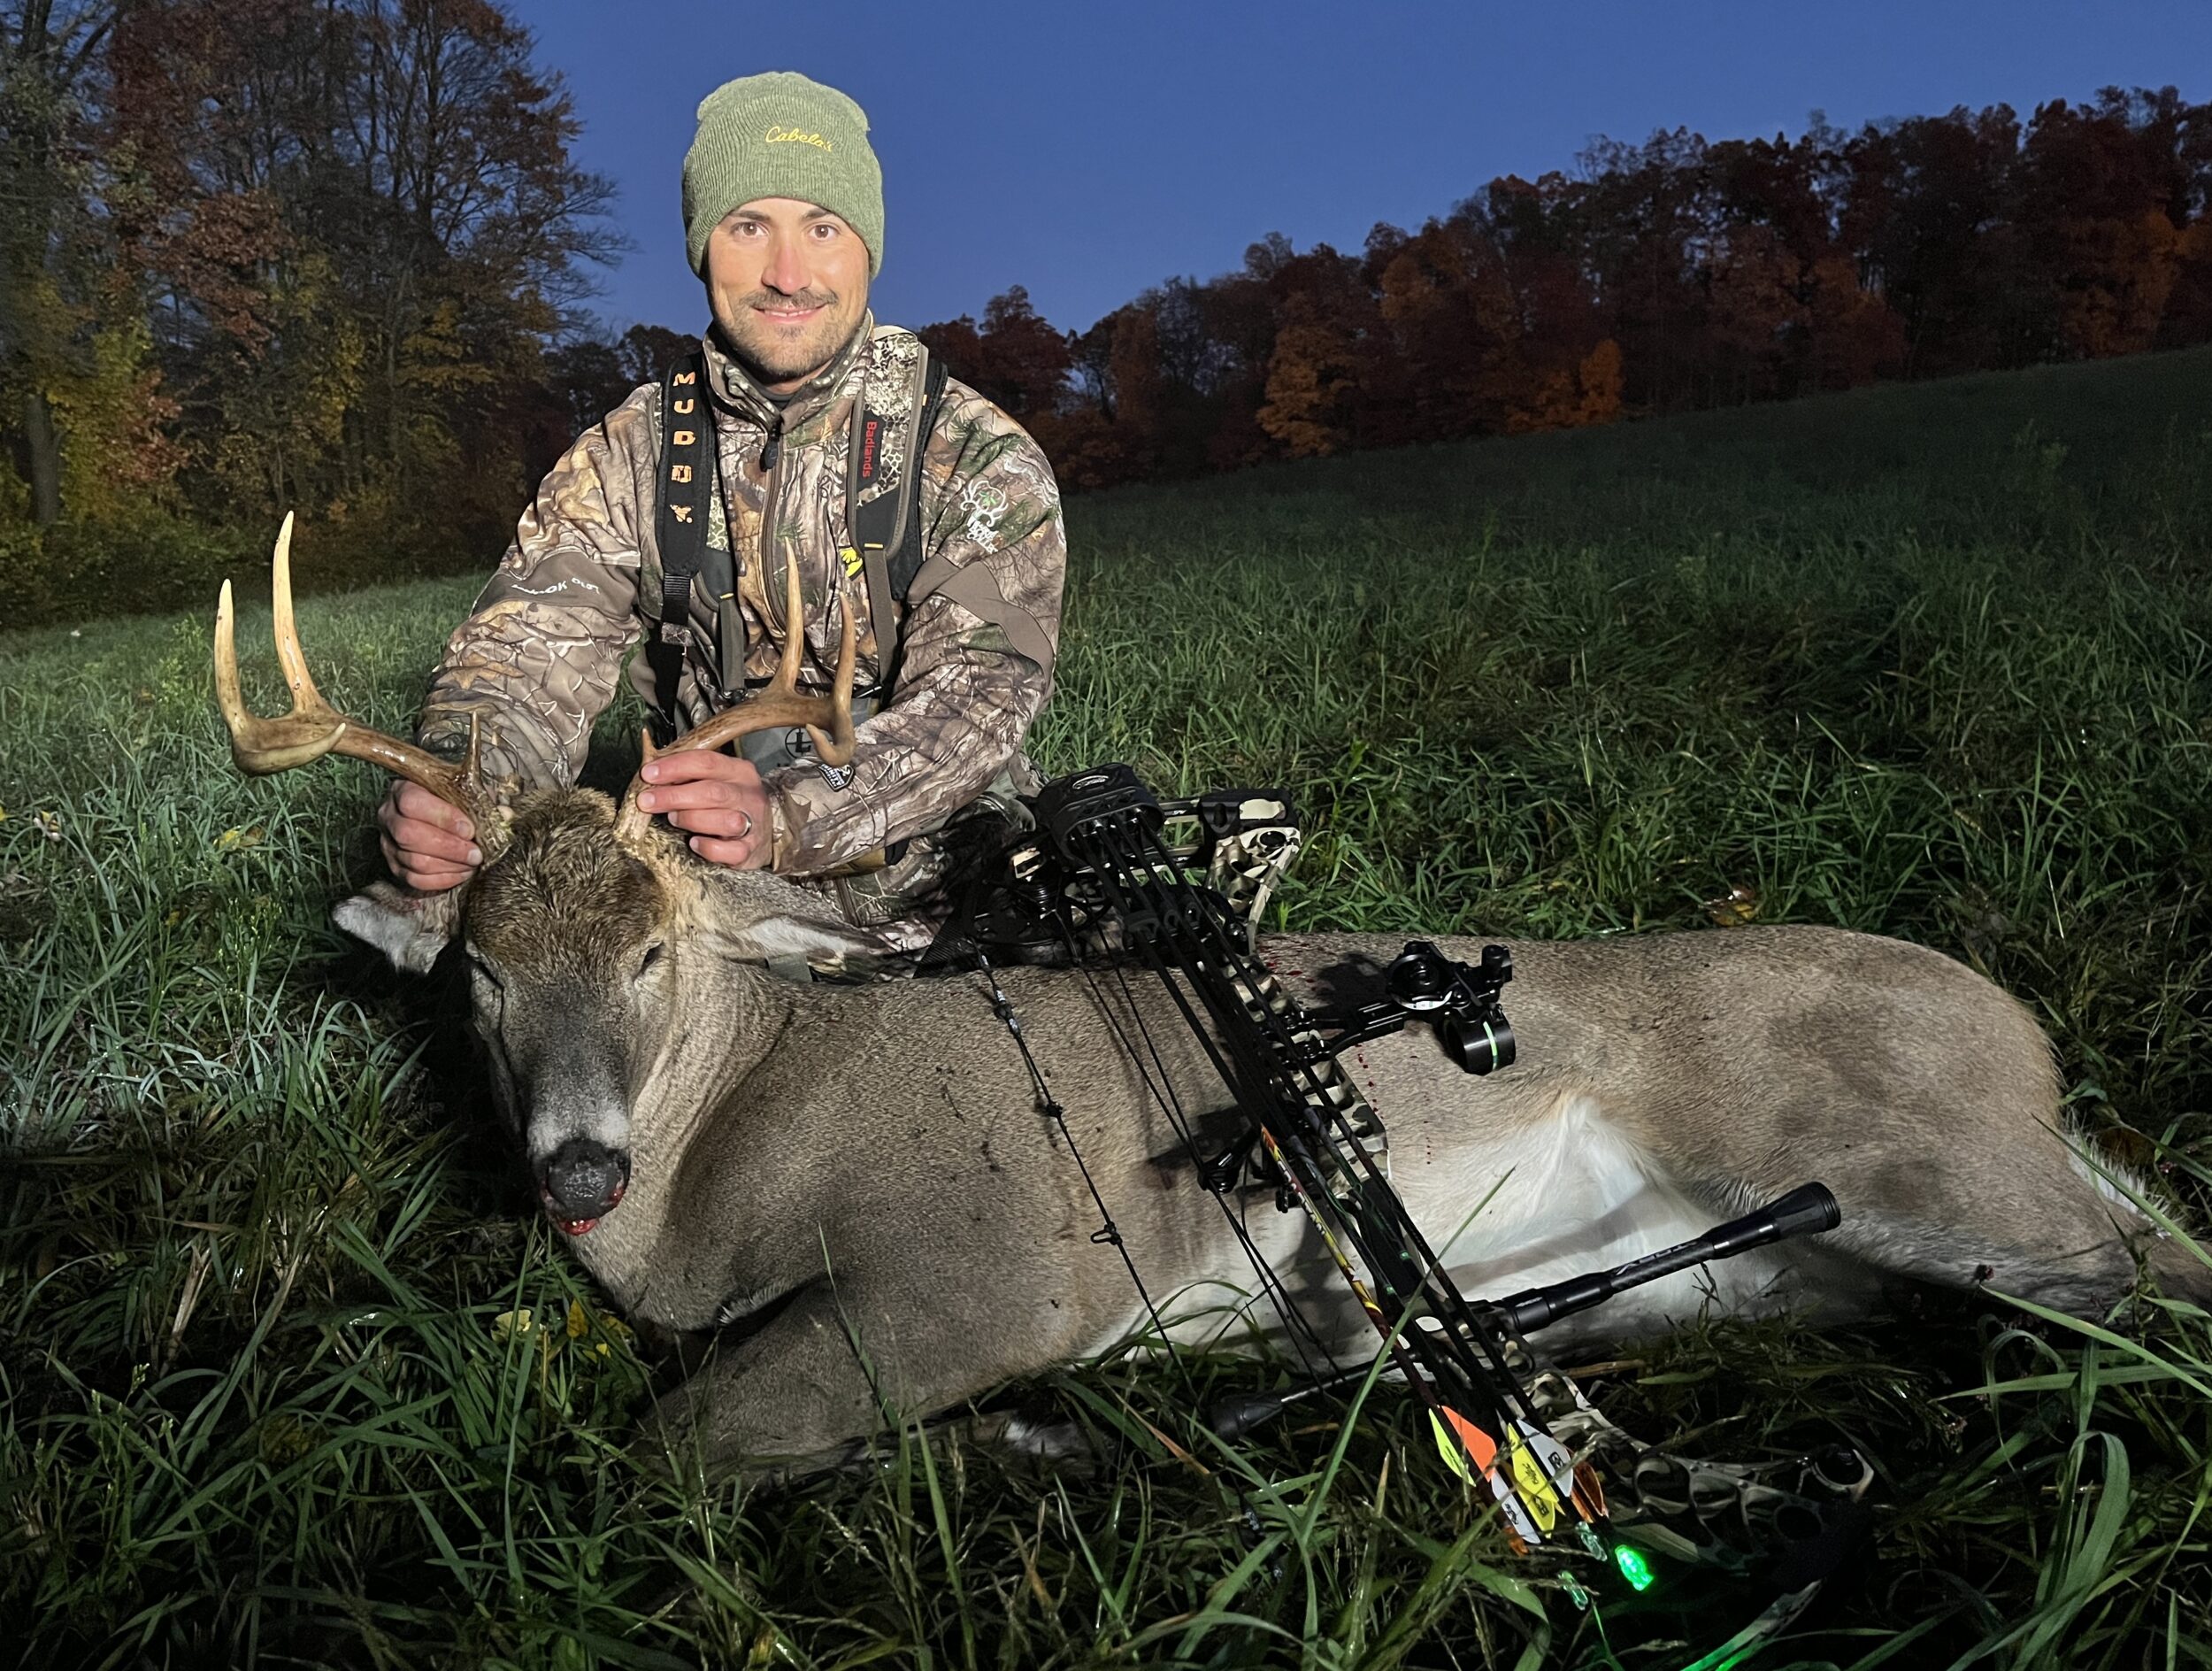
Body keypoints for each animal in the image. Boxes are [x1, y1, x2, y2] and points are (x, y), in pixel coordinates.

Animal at [215, 521, 2209, 1477]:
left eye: (652, 948)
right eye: (478, 969)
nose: (576, 1170)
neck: (725, 1167)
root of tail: (2029, 1045)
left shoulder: (985, 1268)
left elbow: (676, 1449)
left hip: (1896, 1152)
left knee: (2153, 1282)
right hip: (1797, 1254)